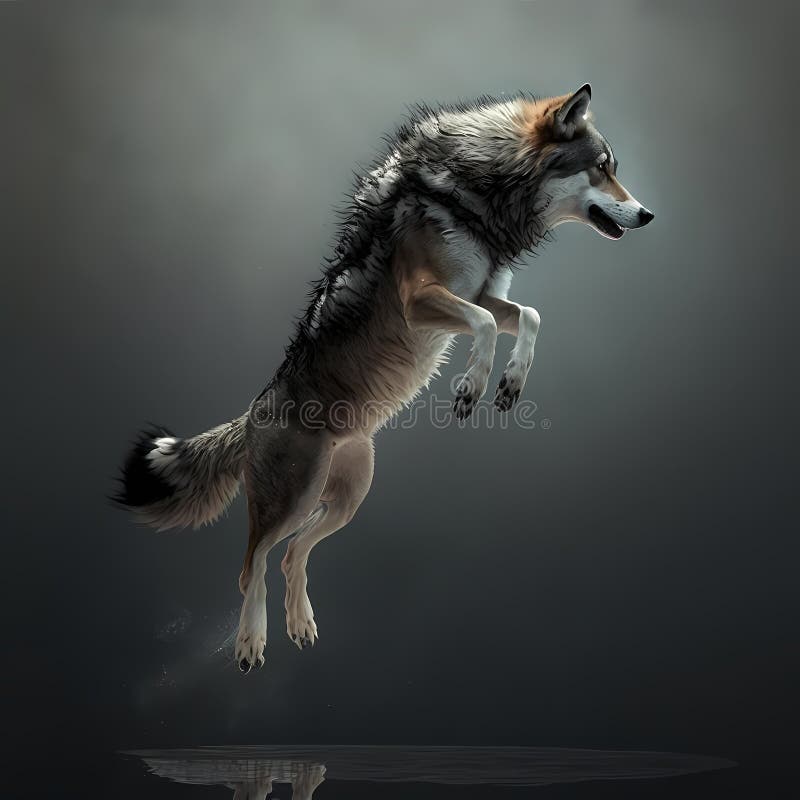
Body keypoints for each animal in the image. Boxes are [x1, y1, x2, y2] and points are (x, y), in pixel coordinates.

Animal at [115, 84, 653, 673]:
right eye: (602, 168)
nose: (648, 214)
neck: (475, 196)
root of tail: (254, 408)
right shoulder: (425, 300)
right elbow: (489, 326)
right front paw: (470, 388)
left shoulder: (482, 294)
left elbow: (529, 315)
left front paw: (510, 384)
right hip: (292, 499)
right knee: (251, 565)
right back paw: (251, 641)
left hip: (347, 498)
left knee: (291, 556)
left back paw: (301, 625)